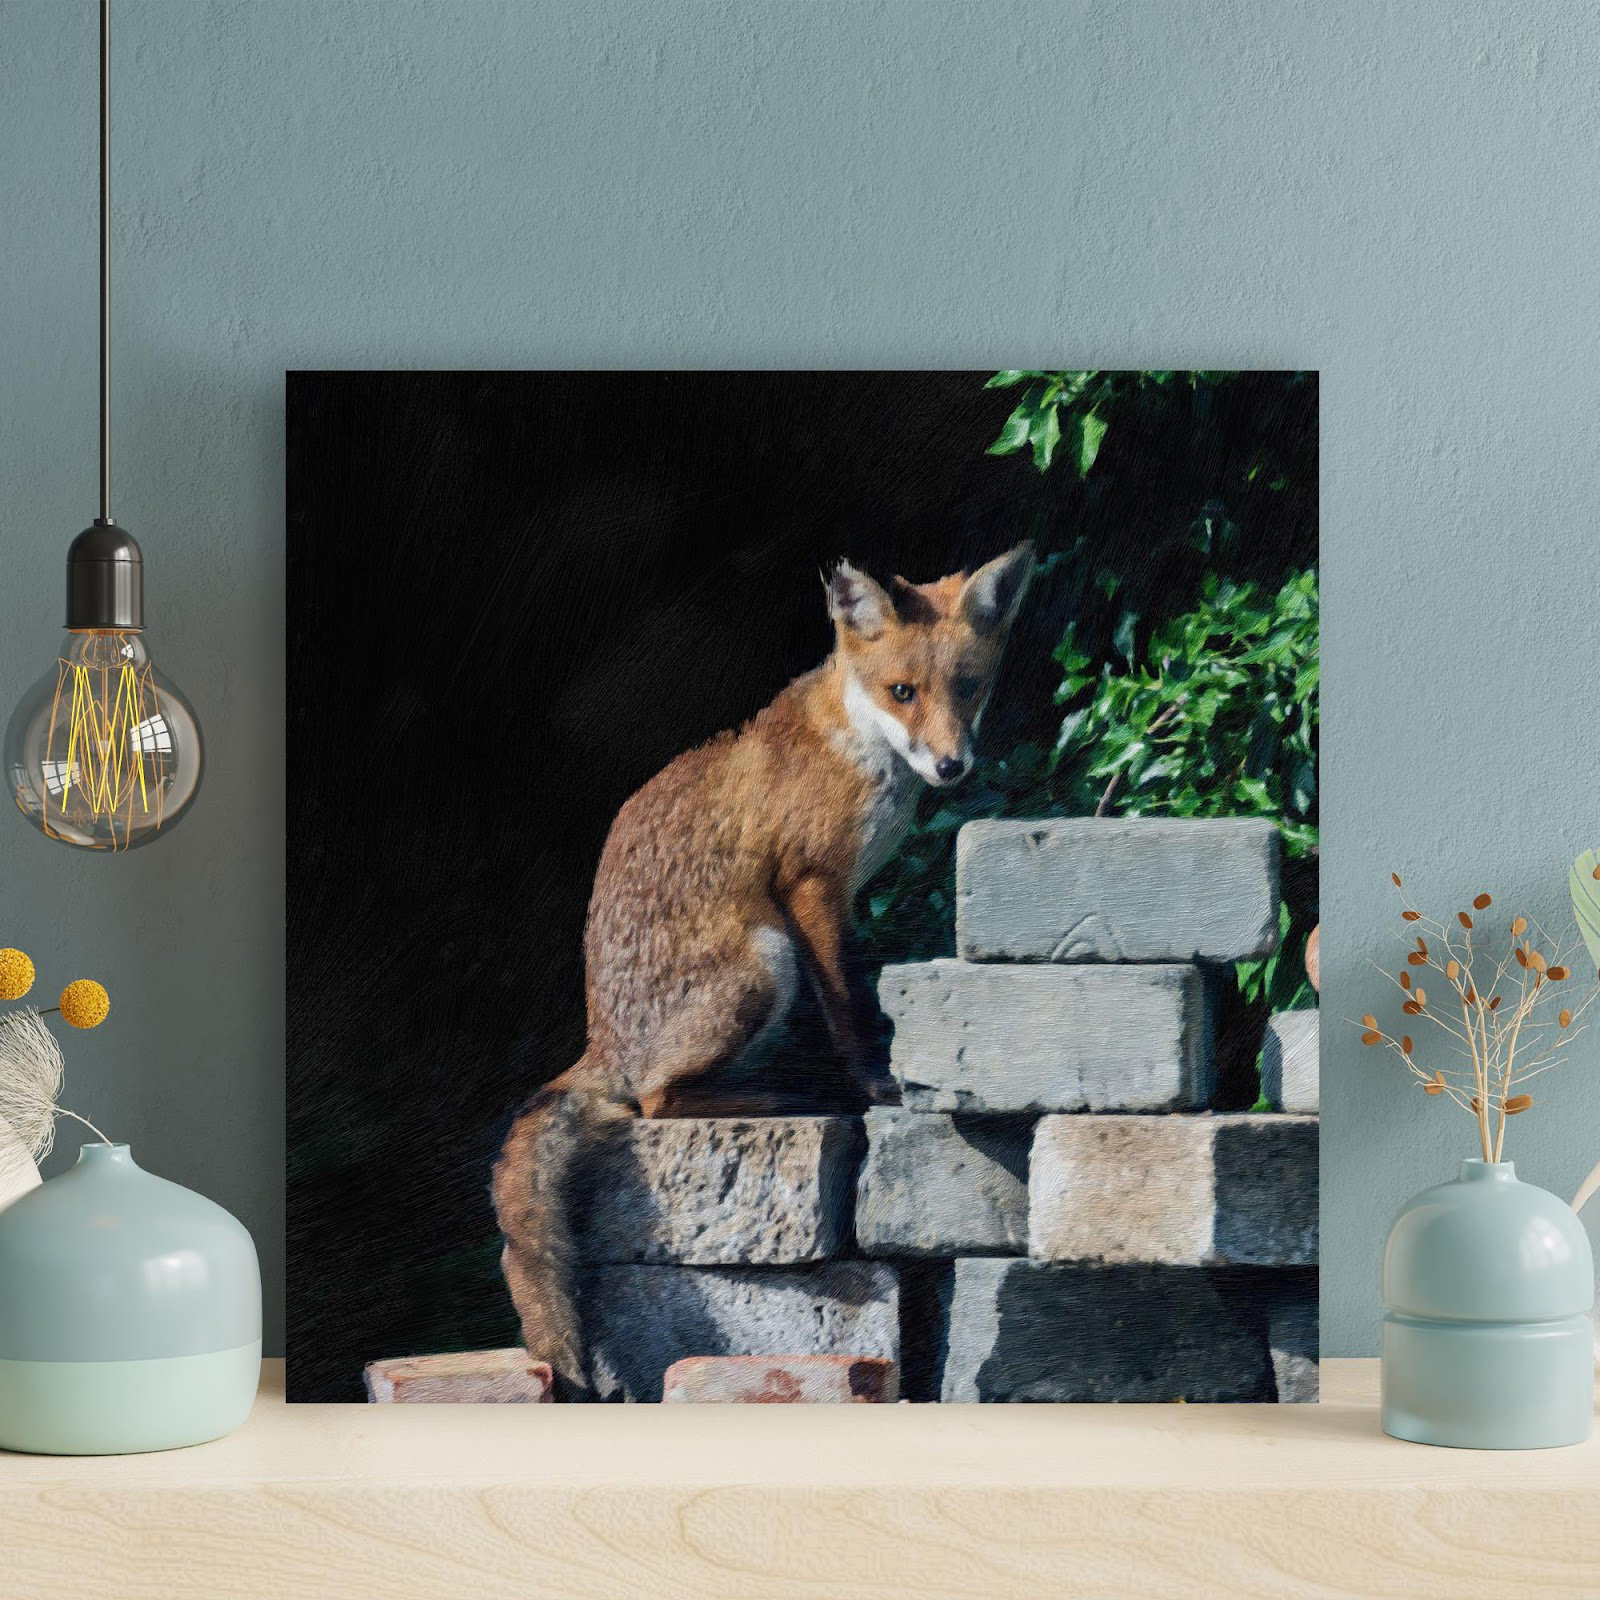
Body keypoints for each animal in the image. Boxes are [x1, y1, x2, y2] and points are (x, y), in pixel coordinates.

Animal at [491, 540, 1034, 1398]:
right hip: (764, 961)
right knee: (654, 1103)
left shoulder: (844, 894)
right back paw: (773, 1096)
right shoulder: (809, 887)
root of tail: (601, 1040)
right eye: (903, 692)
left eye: (969, 687)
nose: (951, 766)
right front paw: (874, 1084)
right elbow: (847, 1002)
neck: (857, 747)